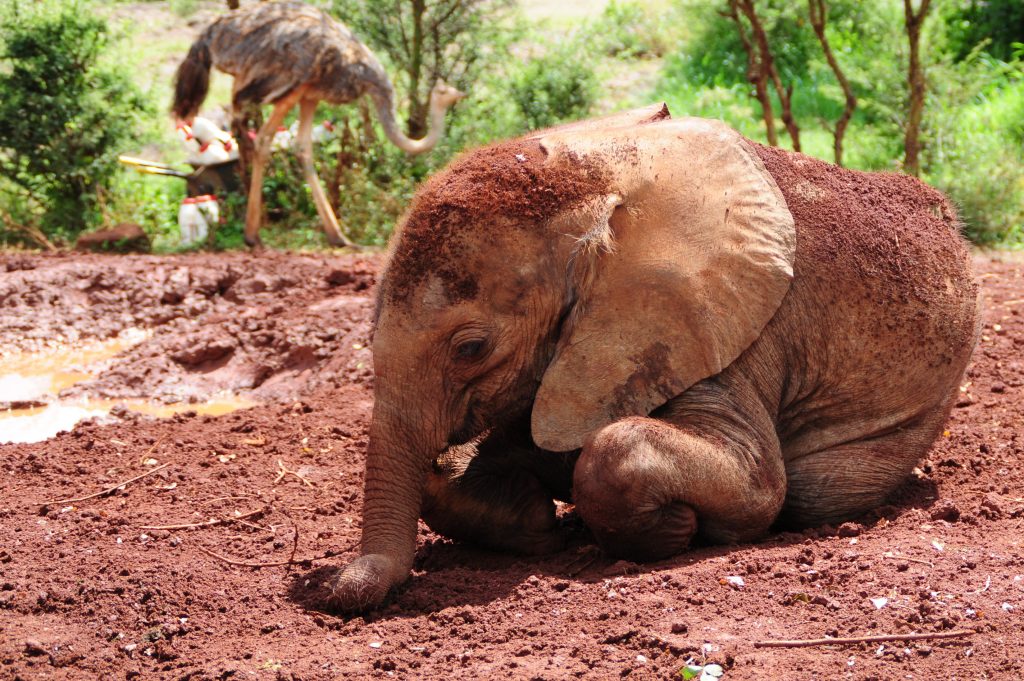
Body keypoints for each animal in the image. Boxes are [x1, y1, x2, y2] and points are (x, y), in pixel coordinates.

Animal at [325, 103, 979, 612]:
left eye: (471, 349)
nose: (341, 595)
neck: (593, 181)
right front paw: (531, 520)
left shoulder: (712, 328)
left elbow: (757, 486)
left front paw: (676, 530)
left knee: (810, 492)